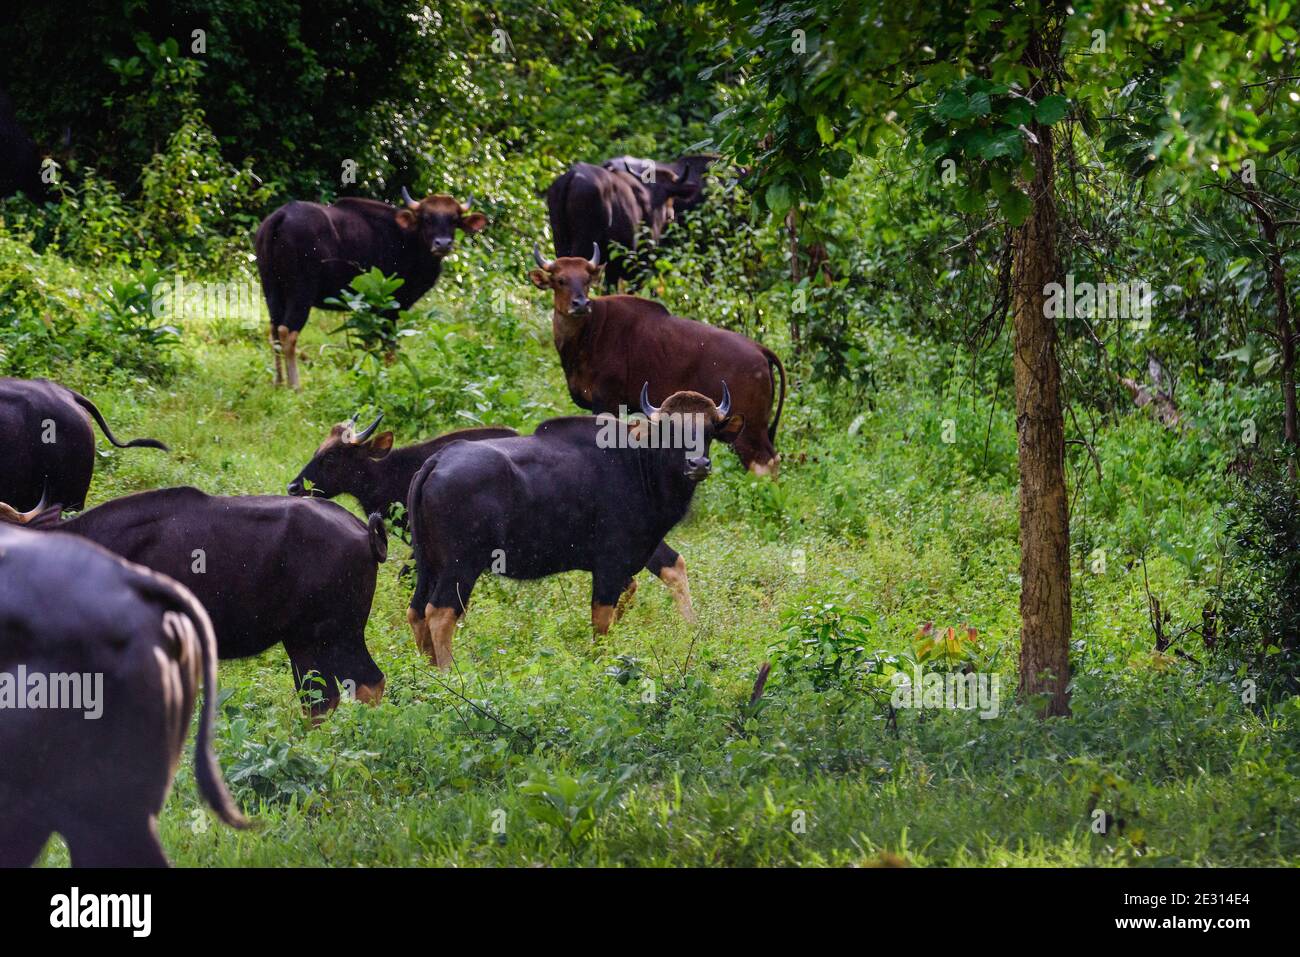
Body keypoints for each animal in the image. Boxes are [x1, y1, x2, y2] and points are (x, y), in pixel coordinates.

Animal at [254, 190, 487, 389]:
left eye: (454, 220)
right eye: (426, 218)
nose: (443, 244)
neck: (409, 240)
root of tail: (281, 216)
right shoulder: (391, 306)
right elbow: (390, 346)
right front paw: (388, 376)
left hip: (271, 288)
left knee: (273, 329)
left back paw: (278, 382)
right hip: (301, 290)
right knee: (287, 332)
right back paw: (295, 386)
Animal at [405, 389, 742, 668]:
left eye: (709, 430)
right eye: (671, 430)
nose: (698, 464)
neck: (639, 465)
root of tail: (435, 462)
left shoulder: (627, 564)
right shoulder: (610, 565)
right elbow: (602, 621)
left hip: (426, 563)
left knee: (417, 610)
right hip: (461, 564)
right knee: (441, 612)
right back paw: (451, 673)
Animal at [529, 248, 786, 475]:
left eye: (586, 281)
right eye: (560, 280)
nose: (581, 304)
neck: (589, 333)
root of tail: (760, 349)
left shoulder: (607, 401)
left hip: (750, 428)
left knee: (763, 462)